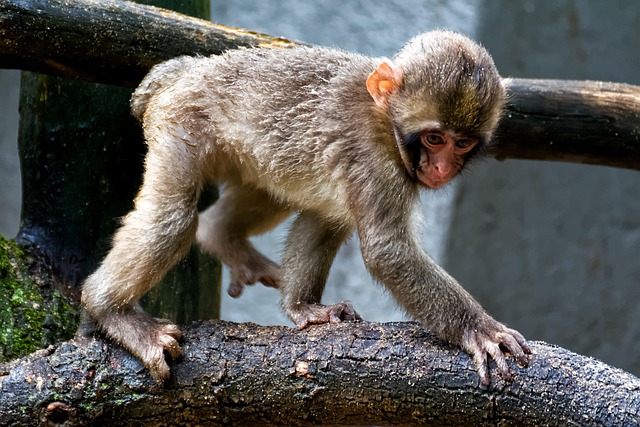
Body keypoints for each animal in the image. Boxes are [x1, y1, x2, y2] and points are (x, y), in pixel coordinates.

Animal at [81, 30, 531, 385]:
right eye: (435, 139)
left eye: (463, 143)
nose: (441, 168)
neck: (384, 122)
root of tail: (187, 71)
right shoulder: (374, 159)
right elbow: (388, 251)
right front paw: (480, 330)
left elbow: (326, 217)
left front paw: (304, 308)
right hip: (182, 121)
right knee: (172, 219)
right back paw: (110, 312)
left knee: (265, 193)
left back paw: (220, 235)